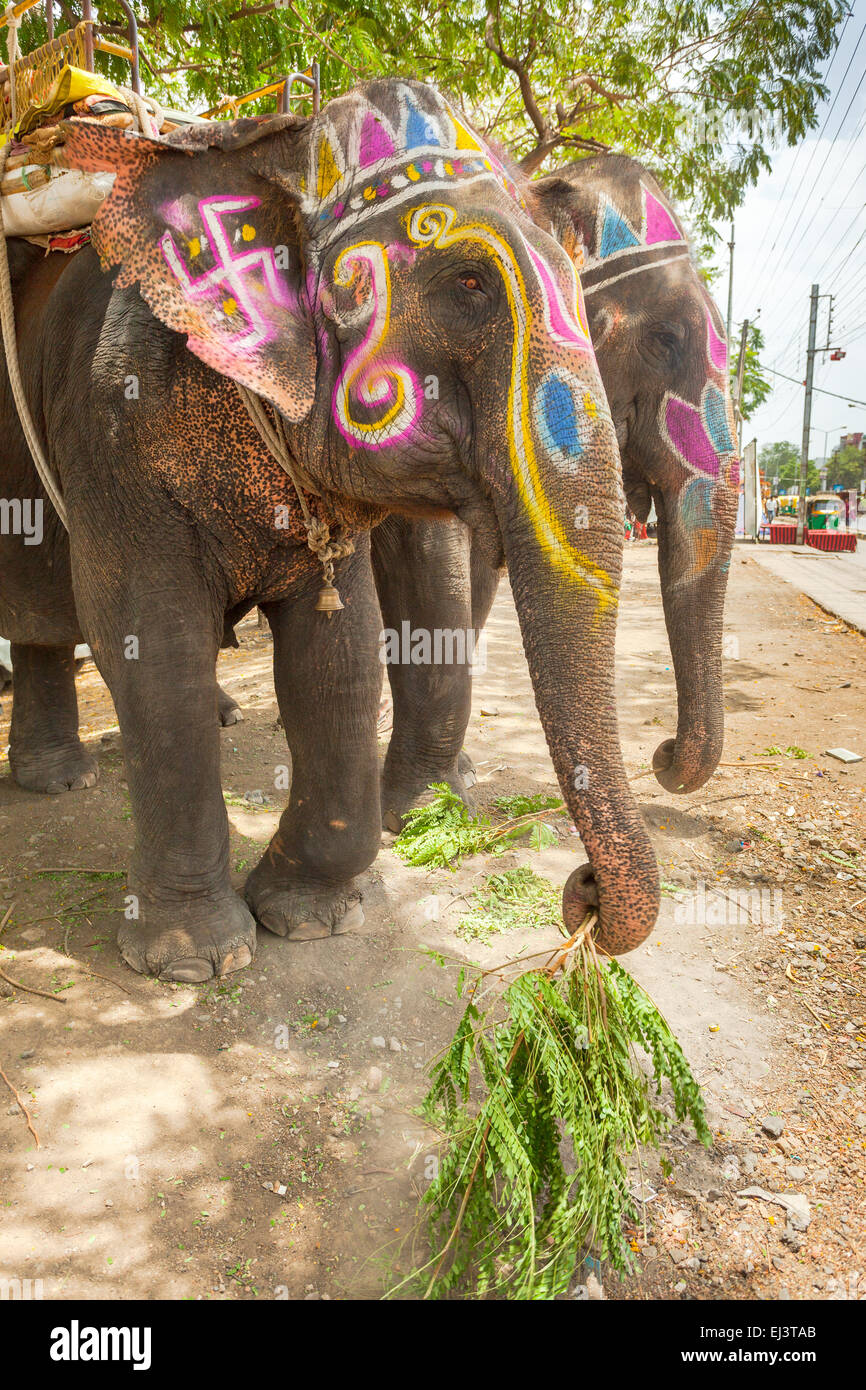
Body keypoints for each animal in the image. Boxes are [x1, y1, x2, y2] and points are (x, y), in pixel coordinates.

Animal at [0, 80, 659, 979]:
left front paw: (313, 917)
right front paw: (192, 961)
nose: (583, 891)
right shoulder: (112, 422)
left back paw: (57, 781)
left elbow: (339, 658)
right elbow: (150, 644)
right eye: (469, 283)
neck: (269, 154)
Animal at [373, 153, 739, 823]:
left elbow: (477, 573)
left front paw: (455, 779)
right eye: (665, 339)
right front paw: (421, 810)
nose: (663, 755)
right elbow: (426, 545)